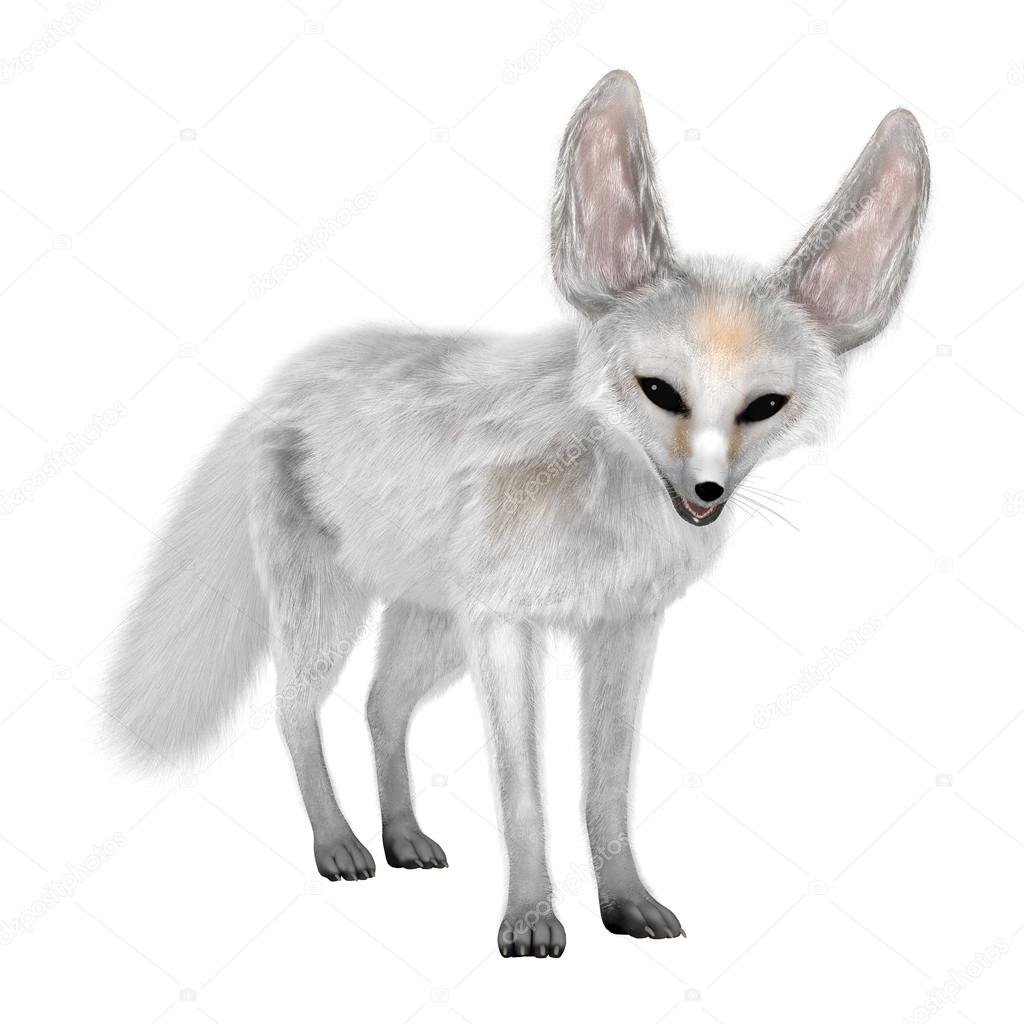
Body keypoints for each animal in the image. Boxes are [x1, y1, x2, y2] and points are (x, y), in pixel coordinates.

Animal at [103, 70, 929, 958]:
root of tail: (280, 386)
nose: (707, 492)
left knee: (379, 705)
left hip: (433, 632)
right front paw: (530, 920)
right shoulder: (504, 627)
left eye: (764, 406)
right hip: (339, 620)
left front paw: (626, 904)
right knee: (293, 709)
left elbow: (606, 791)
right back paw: (338, 845)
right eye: (660, 392)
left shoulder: (623, 628)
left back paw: (401, 837)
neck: (604, 517)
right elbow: (523, 794)